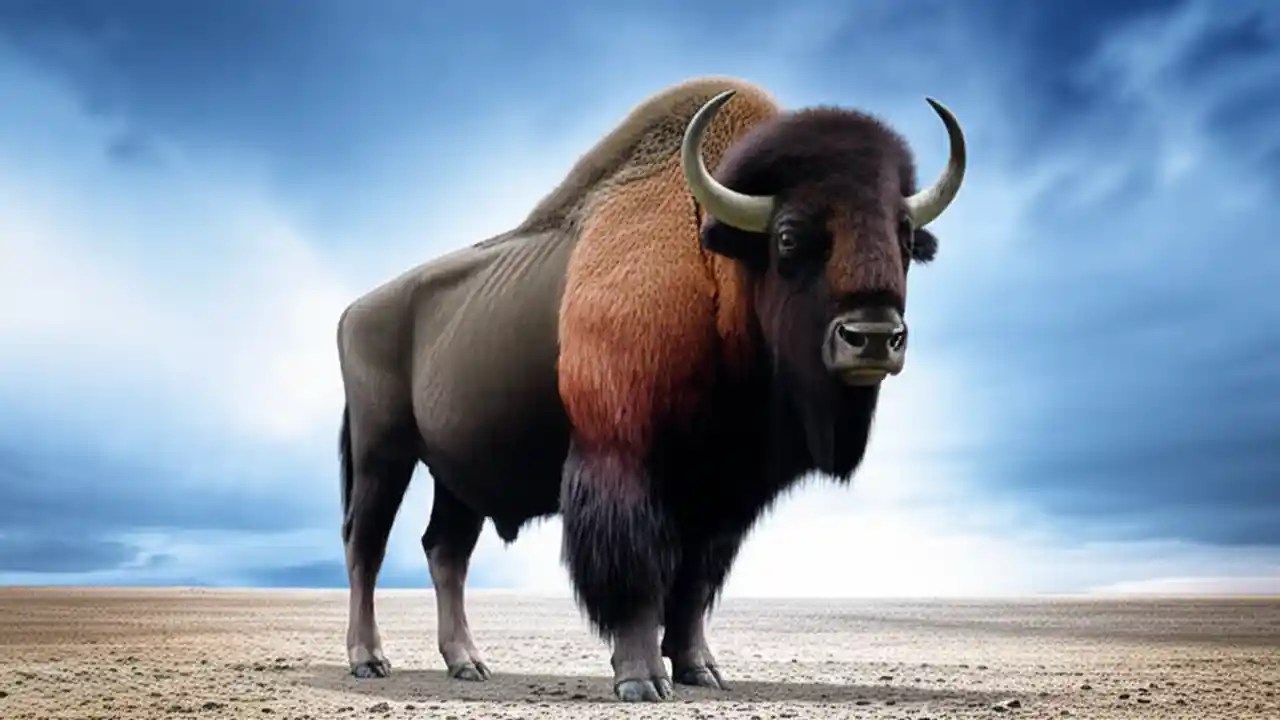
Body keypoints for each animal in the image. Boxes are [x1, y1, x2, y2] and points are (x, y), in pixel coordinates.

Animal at [335, 76, 966, 702]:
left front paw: (701, 670)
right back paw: (370, 659)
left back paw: (467, 662)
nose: (874, 338)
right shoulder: (622, 461)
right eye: (788, 236)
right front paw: (642, 679)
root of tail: (356, 310)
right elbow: (637, 575)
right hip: (382, 455)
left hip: (456, 476)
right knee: (366, 545)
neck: (713, 258)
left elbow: (694, 585)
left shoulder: (722, 491)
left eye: (905, 237)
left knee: (446, 551)